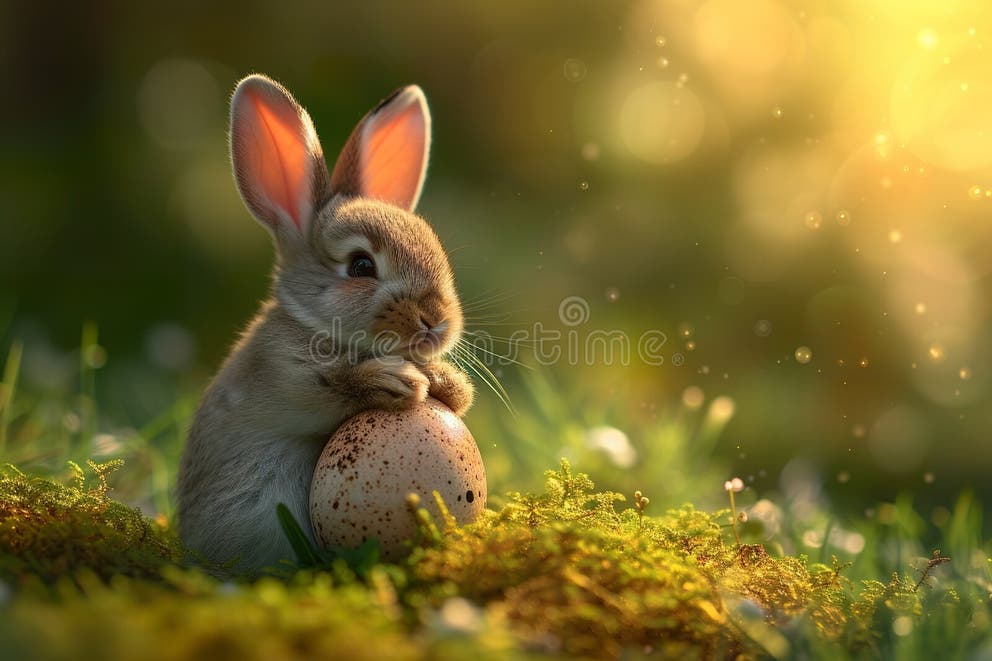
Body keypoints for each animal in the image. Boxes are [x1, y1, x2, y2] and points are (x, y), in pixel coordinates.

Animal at [176, 74, 474, 574]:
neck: (316, 325)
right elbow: (331, 386)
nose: (436, 321)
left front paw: (445, 383)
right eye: (360, 265)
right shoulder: (287, 374)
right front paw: (399, 381)